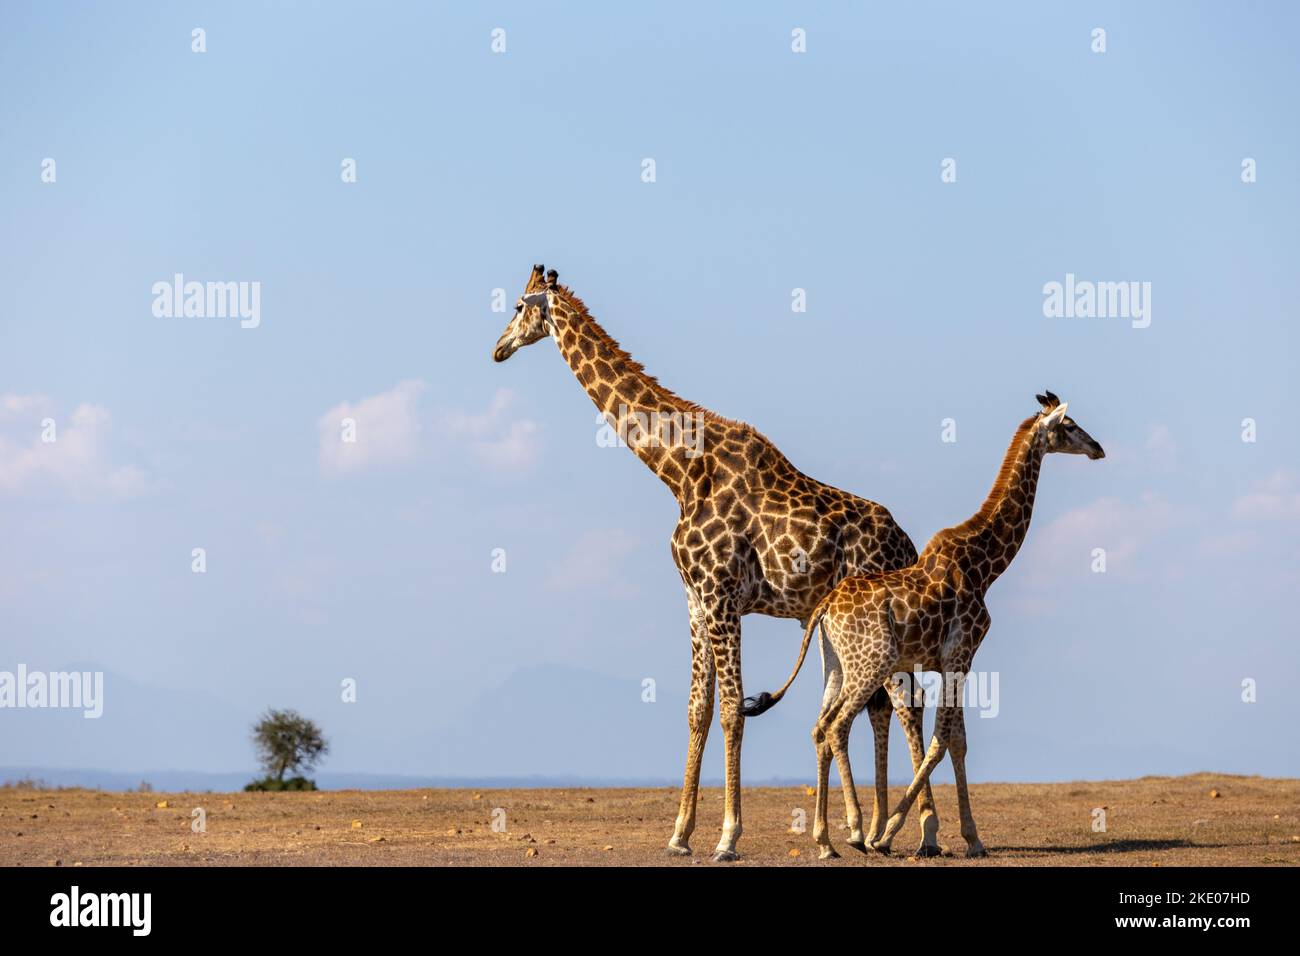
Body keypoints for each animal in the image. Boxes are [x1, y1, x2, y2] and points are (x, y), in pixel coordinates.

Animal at [492, 264, 930, 860]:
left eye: (517, 305)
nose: (497, 348)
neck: (677, 470)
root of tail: (908, 545)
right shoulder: (696, 600)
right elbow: (697, 709)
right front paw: (679, 834)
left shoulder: (723, 597)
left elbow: (730, 710)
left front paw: (727, 836)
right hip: (852, 634)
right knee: (881, 708)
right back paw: (872, 831)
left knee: (906, 705)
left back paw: (924, 834)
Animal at [745, 392, 1104, 859]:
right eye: (1071, 425)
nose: (1099, 448)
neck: (986, 566)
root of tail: (823, 608)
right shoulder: (960, 654)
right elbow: (940, 740)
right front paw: (891, 834)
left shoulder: (955, 660)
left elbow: (958, 742)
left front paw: (972, 838)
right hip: (871, 663)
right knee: (838, 725)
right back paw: (857, 833)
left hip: (836, 665)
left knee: (820, 727)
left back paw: (825, 839)